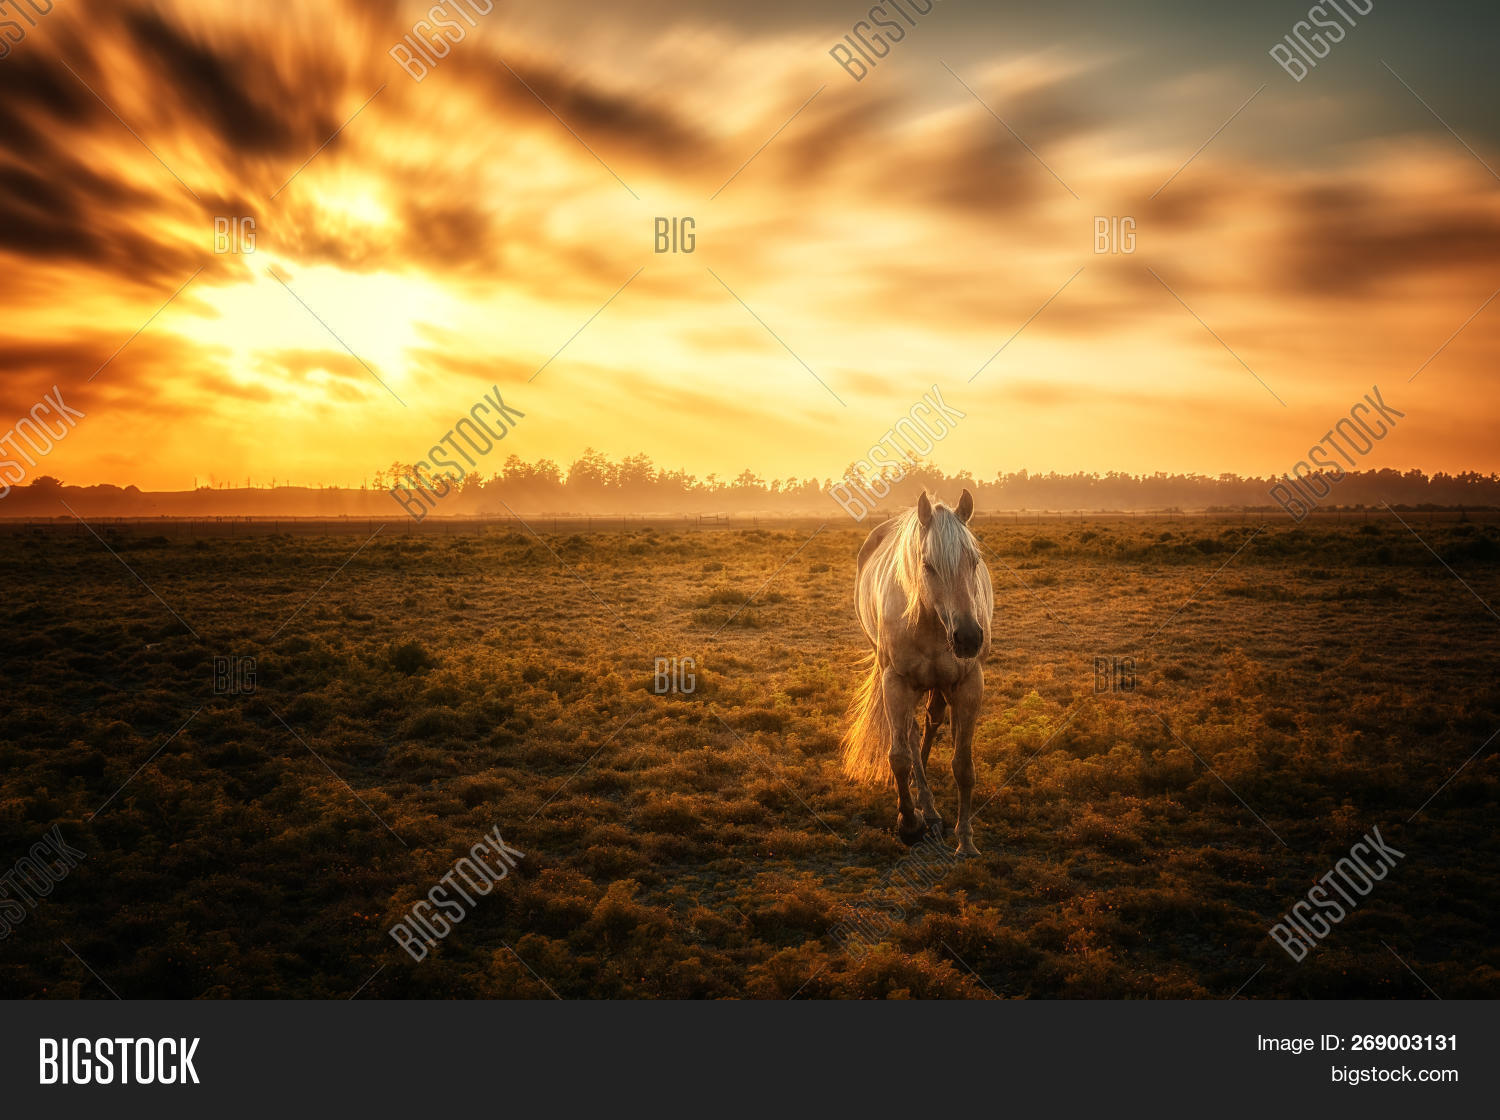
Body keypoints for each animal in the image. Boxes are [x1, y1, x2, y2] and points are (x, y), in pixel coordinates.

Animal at [841, 489, 994, 856]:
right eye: (928, 565)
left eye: (974, 561)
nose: (969, 637)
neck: (932, 623)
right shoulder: (896, 682)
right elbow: (898, 757)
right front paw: (909, 824)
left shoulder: (969, 684)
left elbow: (963, 765)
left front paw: (966, 841)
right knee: (910, 735)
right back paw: (925, 807)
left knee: (933, 722)